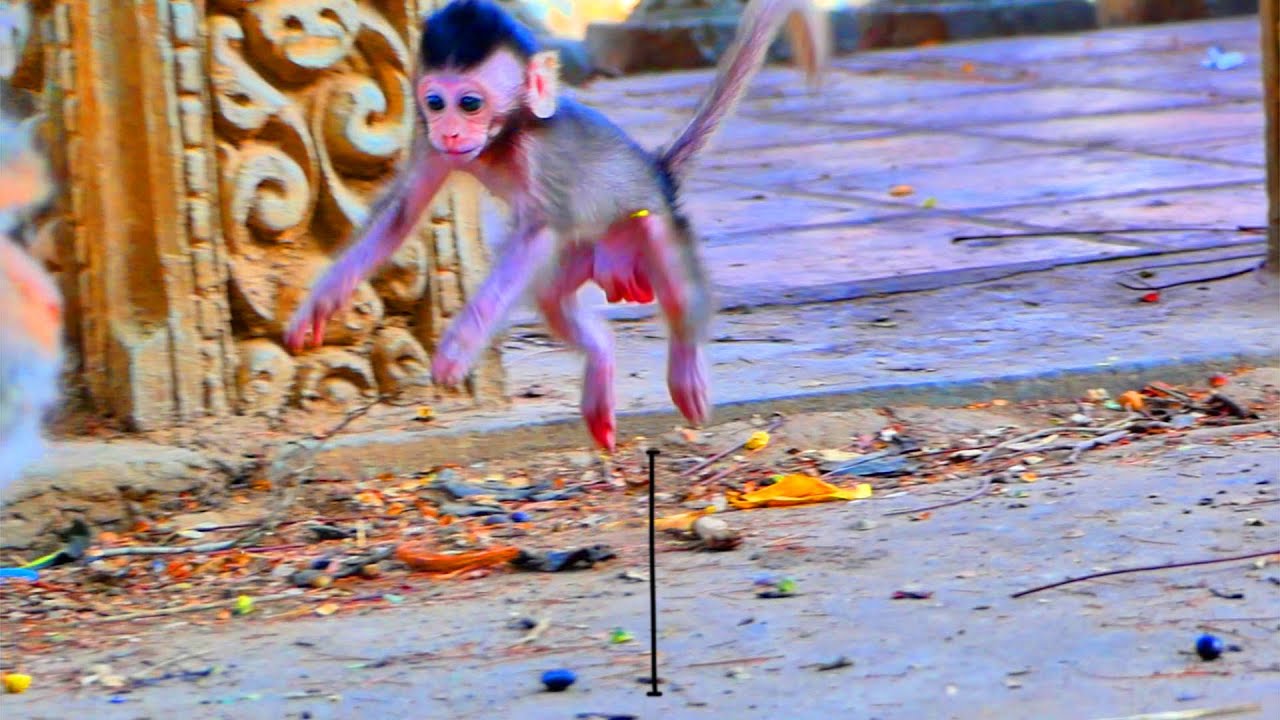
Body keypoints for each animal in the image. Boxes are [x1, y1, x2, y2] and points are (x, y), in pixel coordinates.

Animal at [285, 0, 829, 451]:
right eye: (435, 103)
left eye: (470, 104)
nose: (451, 131)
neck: (506, 136)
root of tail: (658, 170)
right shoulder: (431, 147)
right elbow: (401, 213)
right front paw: (321, 301)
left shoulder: (538, 156)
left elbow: (534, 234)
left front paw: (458, 346)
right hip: (583, 254)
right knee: (552, 299)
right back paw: (601, 358)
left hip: (650, 227)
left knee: (669, 274)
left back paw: (686, 364)